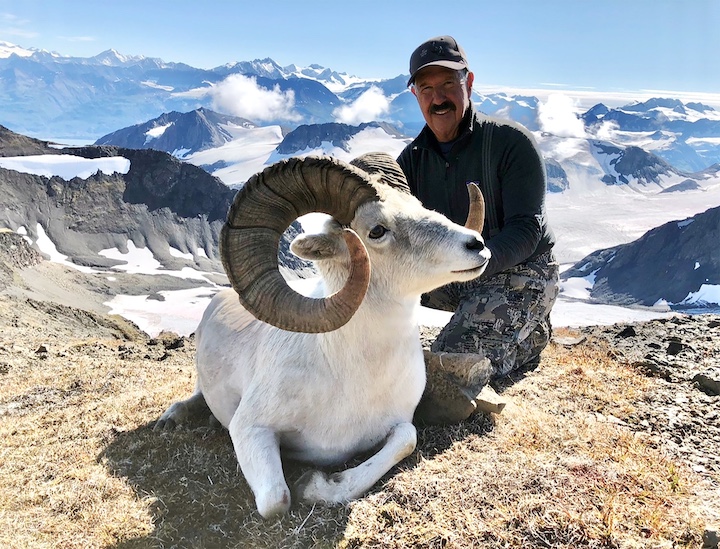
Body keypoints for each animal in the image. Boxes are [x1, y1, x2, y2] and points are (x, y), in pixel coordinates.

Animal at [155, 152, 490, 519]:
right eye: (377, 230)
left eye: (418, 204)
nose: (477, 245)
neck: (352, 377)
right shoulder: (250, 429)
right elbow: (276, 501)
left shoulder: (402, 424)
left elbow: (406, 440)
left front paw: (319, 485)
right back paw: (172, 419)